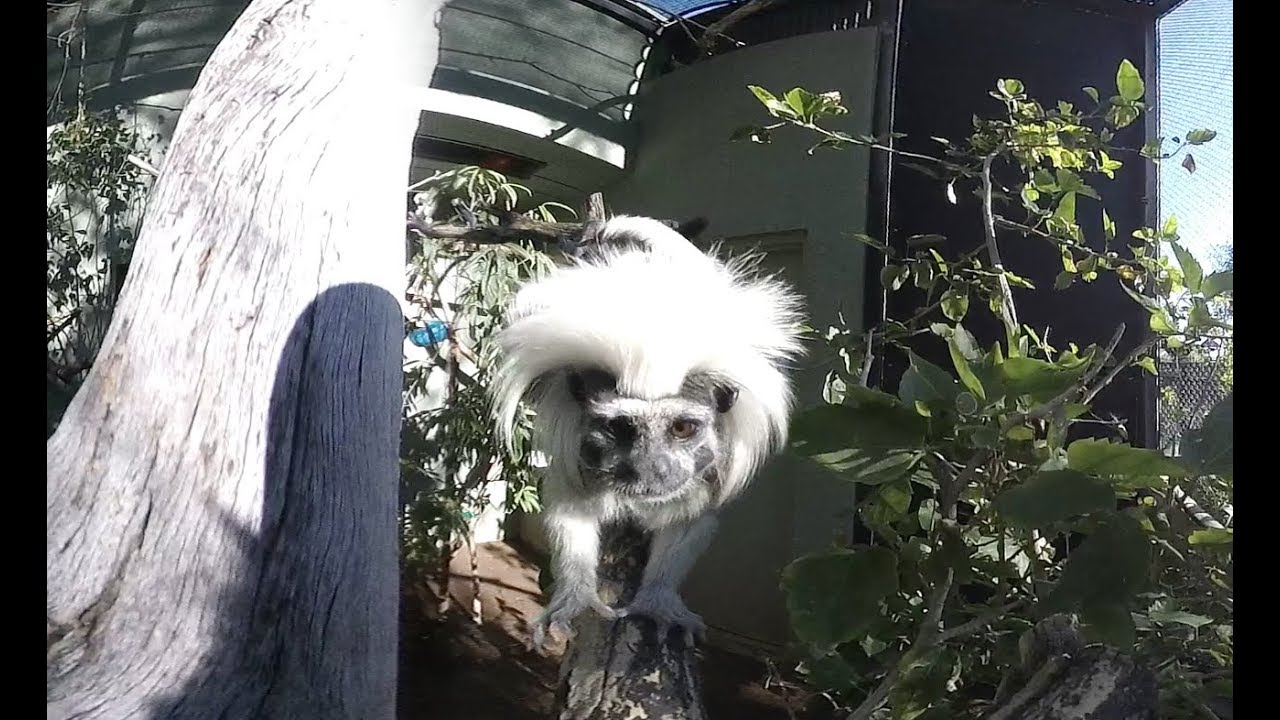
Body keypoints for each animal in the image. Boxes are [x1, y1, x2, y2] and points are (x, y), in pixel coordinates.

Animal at [490, 215, 806, 650]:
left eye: (682, 428)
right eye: (620, 428)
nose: (650, 470)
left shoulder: (707, 468)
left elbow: (692, 519)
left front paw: (657, 600)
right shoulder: (576, 454)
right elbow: (571, 511)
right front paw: (575, 596)